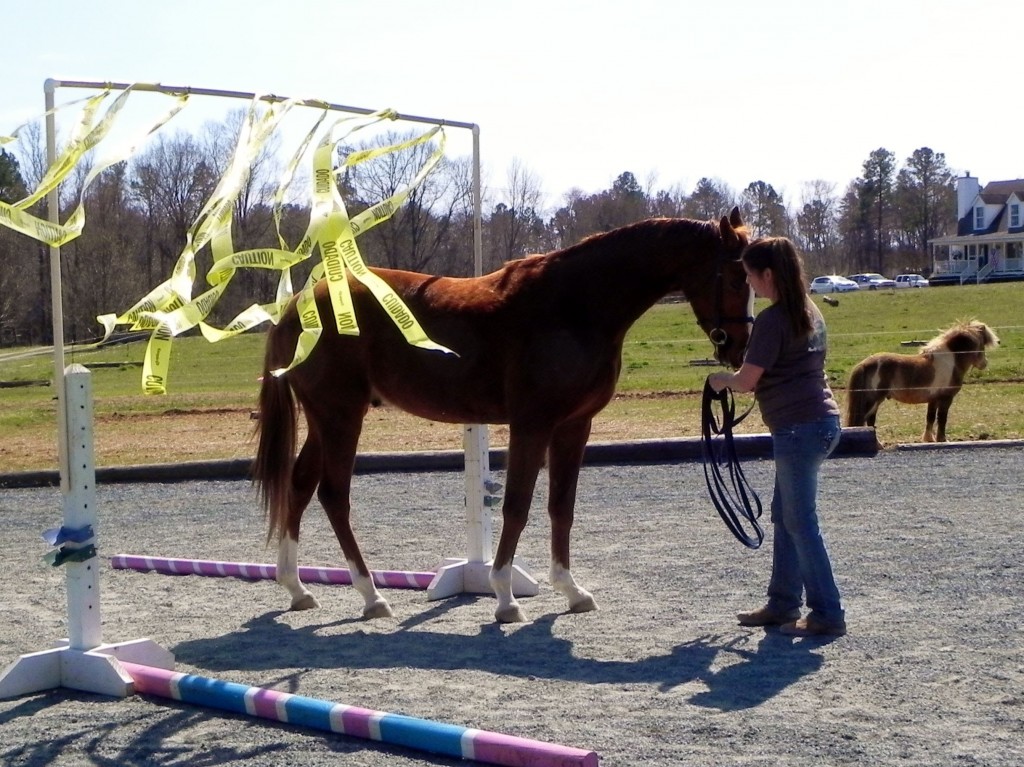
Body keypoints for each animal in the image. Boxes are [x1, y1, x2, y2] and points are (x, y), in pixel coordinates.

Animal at [253, 209, 753, 623]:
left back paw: (297, 588)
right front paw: (505, 597)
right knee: (333, 495)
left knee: (299, 485)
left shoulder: (574, 426)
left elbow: (561, 506)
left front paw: (571, 590)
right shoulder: (531, 424)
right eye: (734, 277)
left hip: (325, 418)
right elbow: (517, 506)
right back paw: (371, 595)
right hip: (341, 415)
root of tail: (297, 305)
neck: (573, 305)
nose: (738, 350)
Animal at [845, 319, 999, 443]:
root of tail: (864, 364)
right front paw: (942, 439)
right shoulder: (946, 398)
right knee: (863, 421)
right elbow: (942, 419)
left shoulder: (933, 399)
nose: (984, 363)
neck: (951, 360)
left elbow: (930, 418)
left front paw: (929, 439)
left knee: (869, 422)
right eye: (981, 344)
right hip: (873, 400)